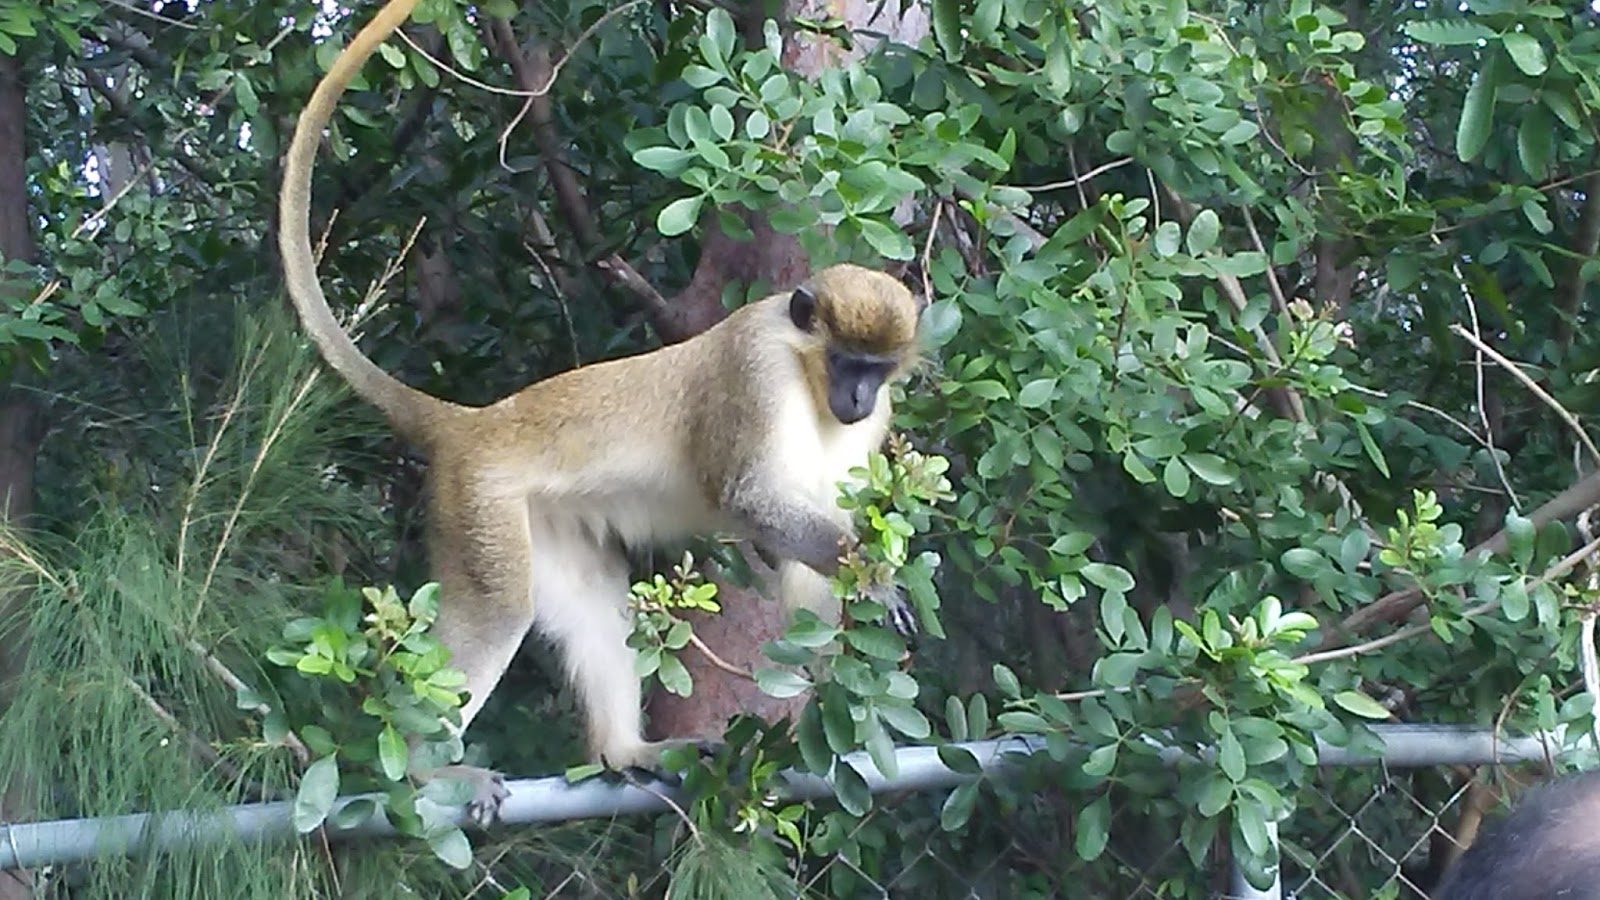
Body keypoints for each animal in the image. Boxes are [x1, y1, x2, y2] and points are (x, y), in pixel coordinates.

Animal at [277, 0, 925, 822]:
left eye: (876, 371)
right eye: (844, 362)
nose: (856, 397)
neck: (806, 377)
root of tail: (471, 423)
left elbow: (797, 553)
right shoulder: (754, 369)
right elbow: (752, 499)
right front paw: (875, 577)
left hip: (542, 525)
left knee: (591, 604)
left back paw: (625, 749)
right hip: (478, 503)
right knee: (498, 611)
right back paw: (425, 773)